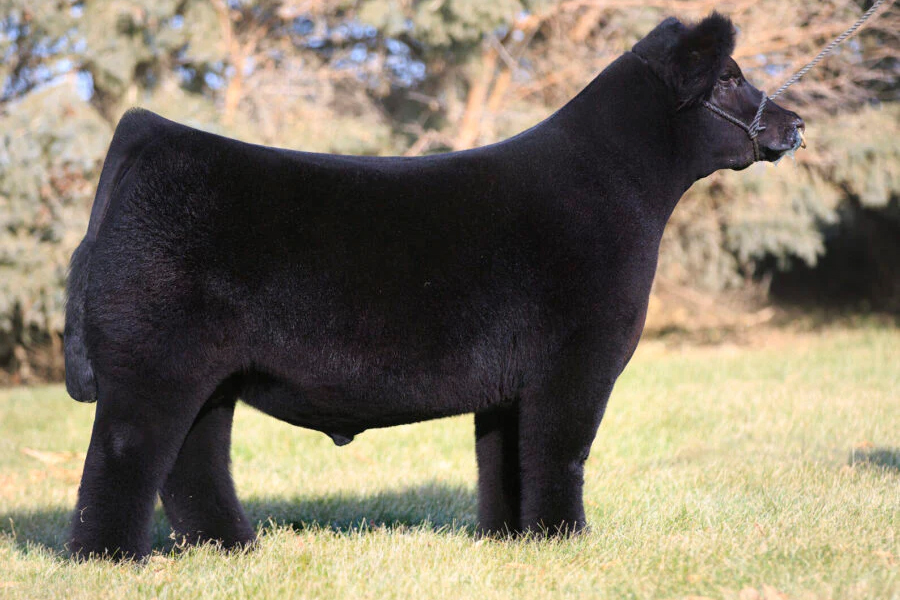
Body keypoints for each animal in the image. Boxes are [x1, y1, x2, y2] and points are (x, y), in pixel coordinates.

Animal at [64, 12, 804, 560]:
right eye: (731, 79)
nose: (796, 122)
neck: (616, 184)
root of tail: (149, 132)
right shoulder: (577, 364)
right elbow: (559, 452)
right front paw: (565, 540)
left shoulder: (512, 382)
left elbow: (503, 460)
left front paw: (511, 540)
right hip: (153, 362)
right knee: (126, 453)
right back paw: (111, 558)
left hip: (212, 374)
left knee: (194, 459)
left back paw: (232, 549)